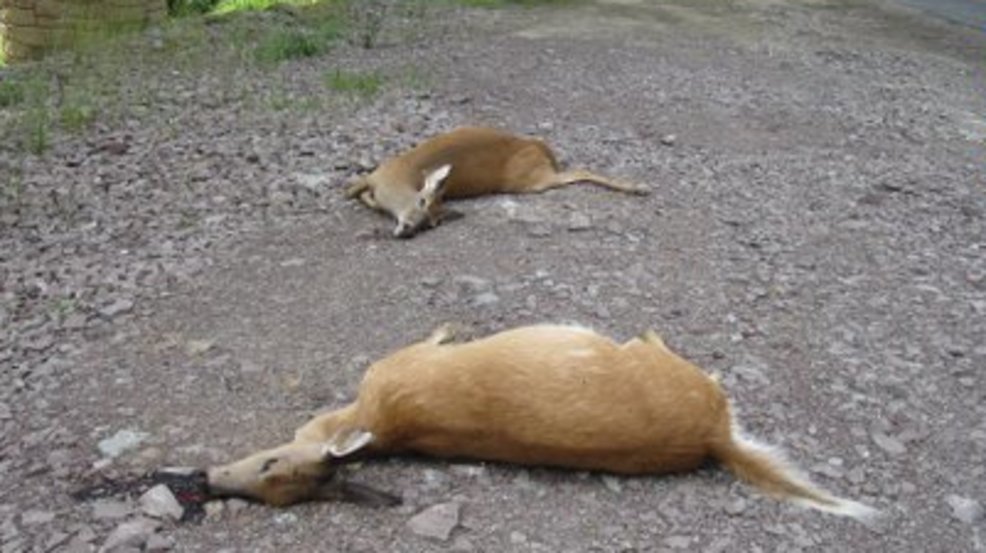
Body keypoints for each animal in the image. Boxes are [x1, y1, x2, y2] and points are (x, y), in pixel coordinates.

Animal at [343, 126, 648, 238]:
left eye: (432, 223)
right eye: (422, 202)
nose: (408, 229)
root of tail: (538, 145)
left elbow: (351, 192)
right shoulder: (373, 178)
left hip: (530, 180)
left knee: (579, 172)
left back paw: (638, 187)